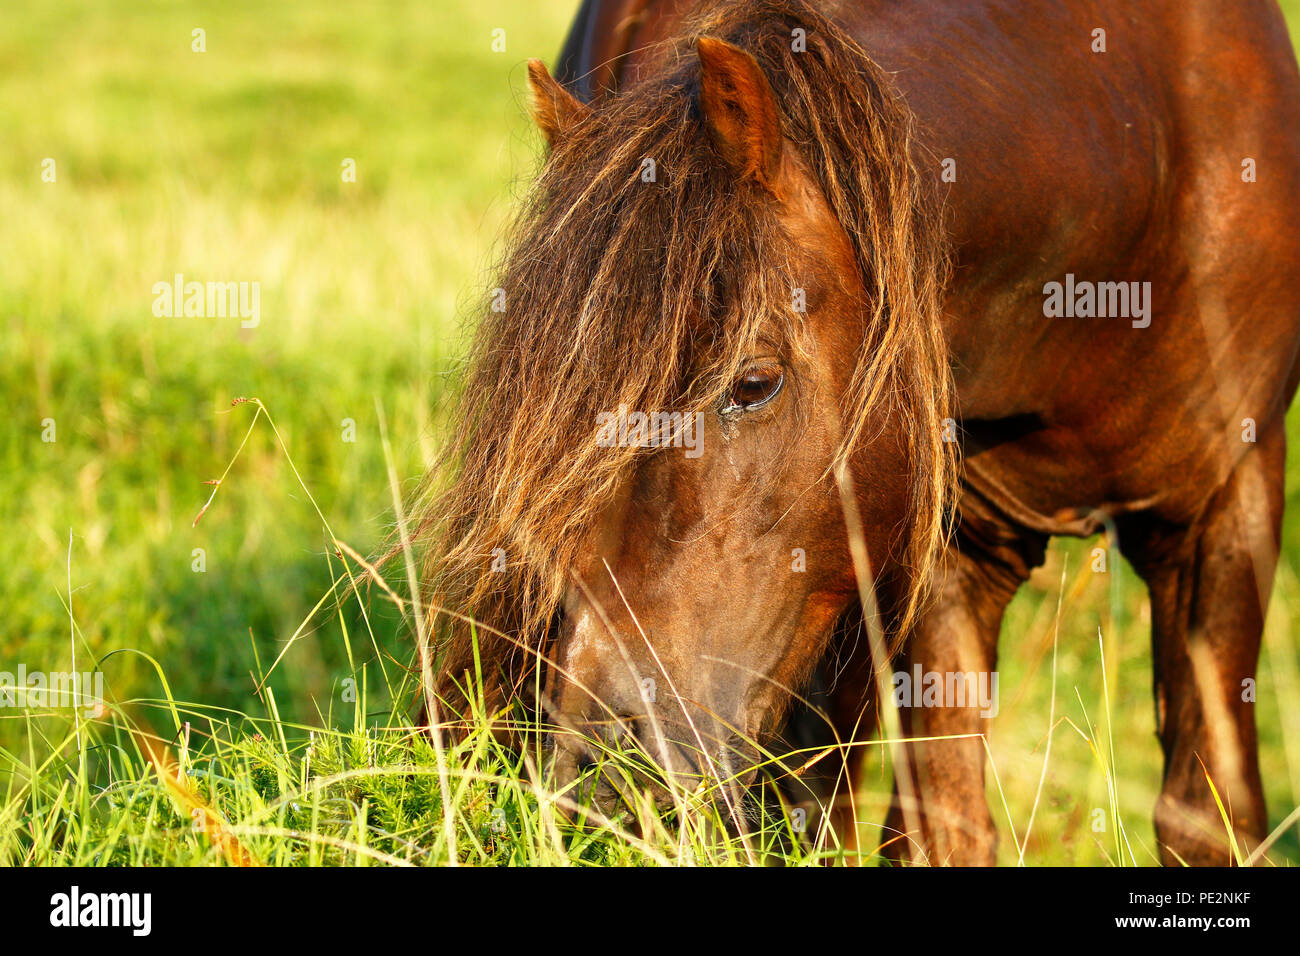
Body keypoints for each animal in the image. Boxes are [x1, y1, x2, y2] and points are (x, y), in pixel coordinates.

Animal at [417, 0, 1300, 865]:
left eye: (754, 384)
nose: (596, 775)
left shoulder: (1227, 514)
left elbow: (1207, 819)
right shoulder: (948, 560)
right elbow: (940, 828)